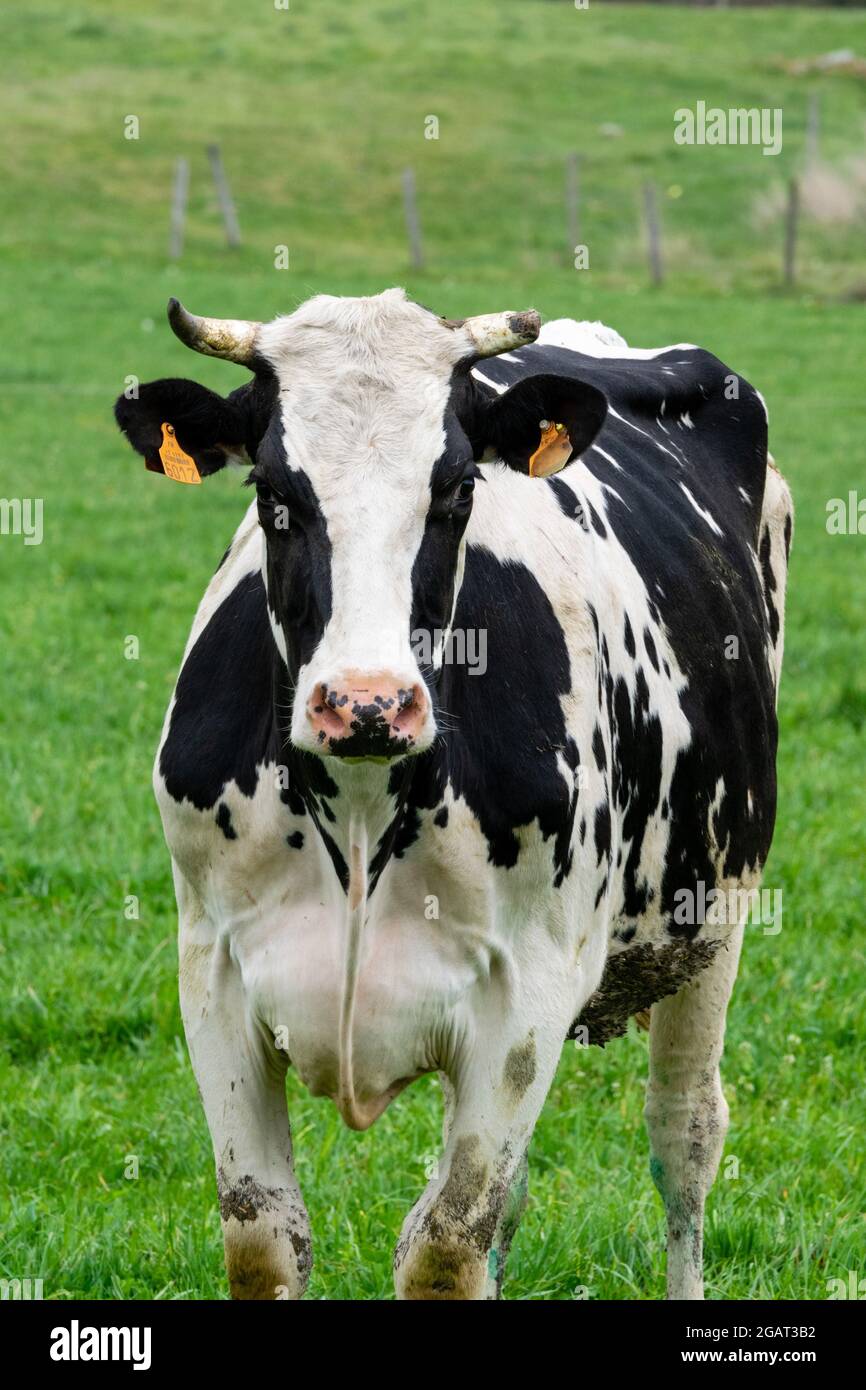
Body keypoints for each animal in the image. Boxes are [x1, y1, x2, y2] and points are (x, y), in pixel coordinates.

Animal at [114, 288, 792, 1301]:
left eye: (458, 490)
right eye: (273, 496)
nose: (366, 703)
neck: (358, 811)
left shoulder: (527, 997)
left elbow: (445, 1247)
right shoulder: (215, 971)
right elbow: (264, 1242)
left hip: (715, 917)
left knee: (685, 1137)